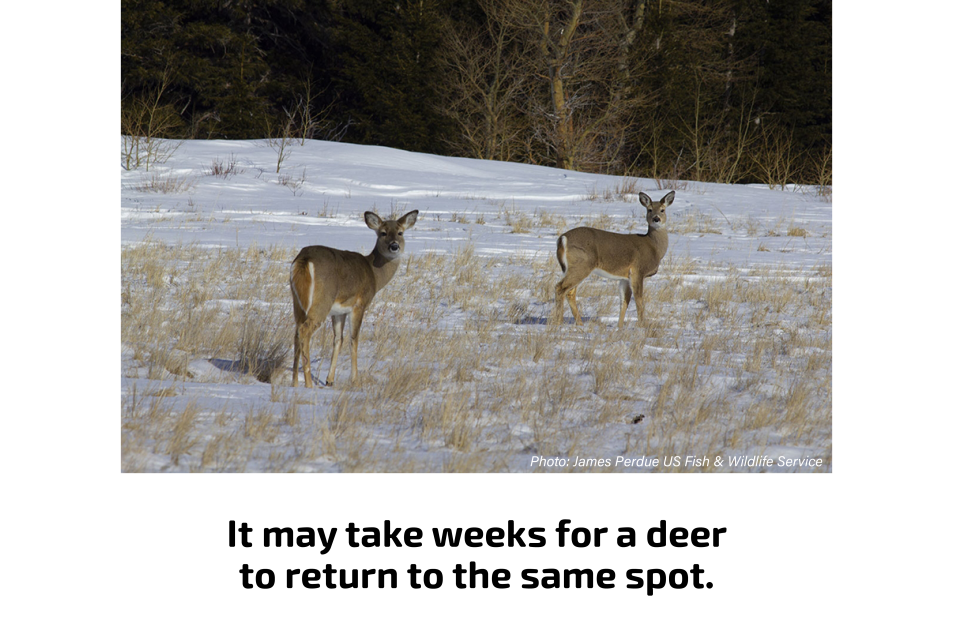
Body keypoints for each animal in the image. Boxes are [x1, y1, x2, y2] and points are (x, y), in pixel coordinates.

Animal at [290, 211, 419, 388]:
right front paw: (354, 380)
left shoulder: (339, 311)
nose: (394, 246)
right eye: (383, 233)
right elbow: (354, 339)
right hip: (322, 301)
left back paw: (295, 382)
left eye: (400, 232)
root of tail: (304, 259)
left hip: (297, 302)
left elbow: (338, 340)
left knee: (296, 332)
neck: (374, 274)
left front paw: (330, 380)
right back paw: (308, 384)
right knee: (304, 331)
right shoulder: (360, 304)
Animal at [554, 191, 675, 328]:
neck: (654, 247)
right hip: (582, 265)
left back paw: (579, 323)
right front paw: (642, 325)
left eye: (662, 210)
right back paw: (558, 323)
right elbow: (639, 299)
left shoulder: (625, 277)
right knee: (560, 288)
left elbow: (624, 301)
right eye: (649, 209)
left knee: (570, 292)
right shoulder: (638, 270)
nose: (656, 219)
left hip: (573, 267)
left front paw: (619, 326)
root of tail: (562, 239)